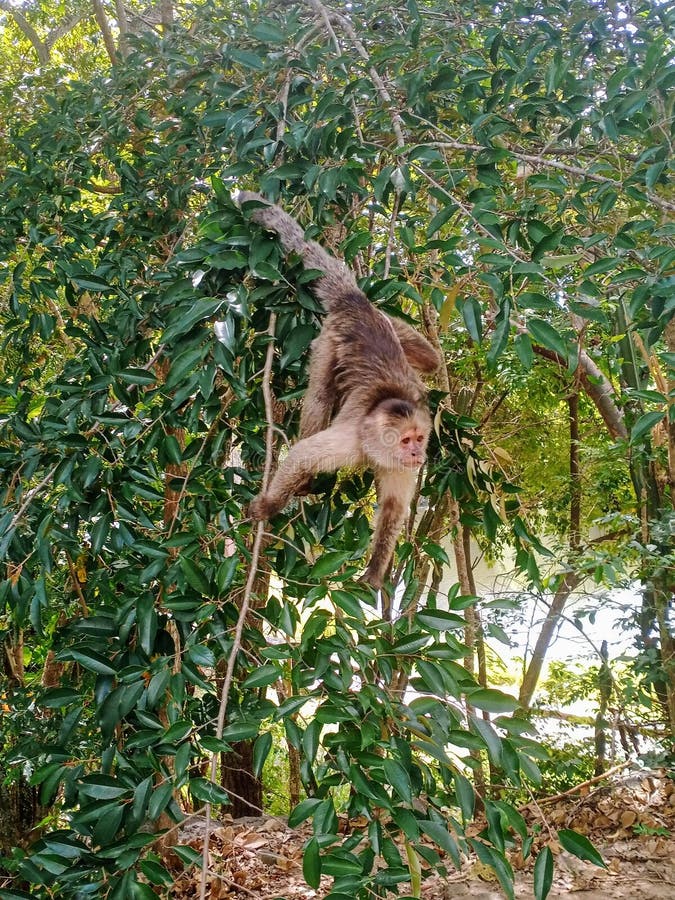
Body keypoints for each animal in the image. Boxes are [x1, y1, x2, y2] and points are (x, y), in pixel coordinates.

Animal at [239, 192, 440, 589]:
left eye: (420, 439)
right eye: (405, 441)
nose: (418, 454)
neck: (376, 449)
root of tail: (355, 306)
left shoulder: (398, 466)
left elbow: (393, 508)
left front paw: (374, 574)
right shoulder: (352, 441)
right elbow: (303, 455)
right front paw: (269, 505)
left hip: (384, 322)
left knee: (432, 360)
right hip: (328, 339)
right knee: (320, 396)